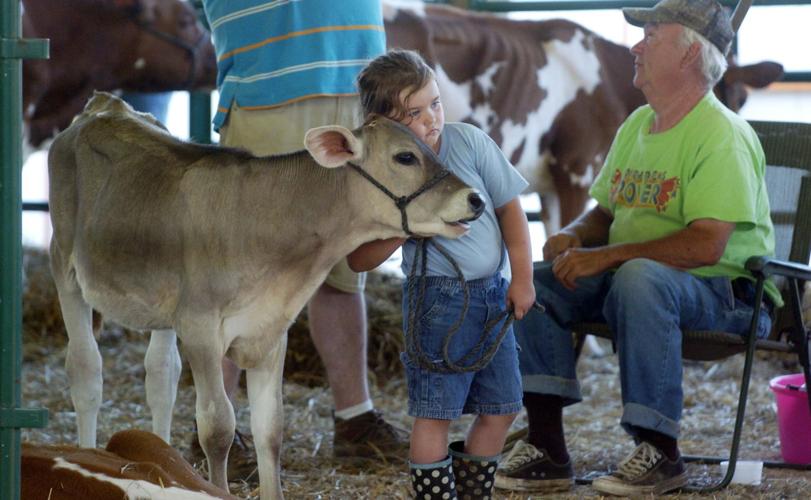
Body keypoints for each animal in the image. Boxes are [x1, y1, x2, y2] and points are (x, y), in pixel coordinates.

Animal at [48, 91, 484, 499]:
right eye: (405, 156)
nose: (476, 199)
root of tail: (106, 105)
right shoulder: (201, 329)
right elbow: (218, 427)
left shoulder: (270, 331)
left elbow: (270, 428)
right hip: (65, 269)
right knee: (85, 372)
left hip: (162, 311)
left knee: (161, 376)